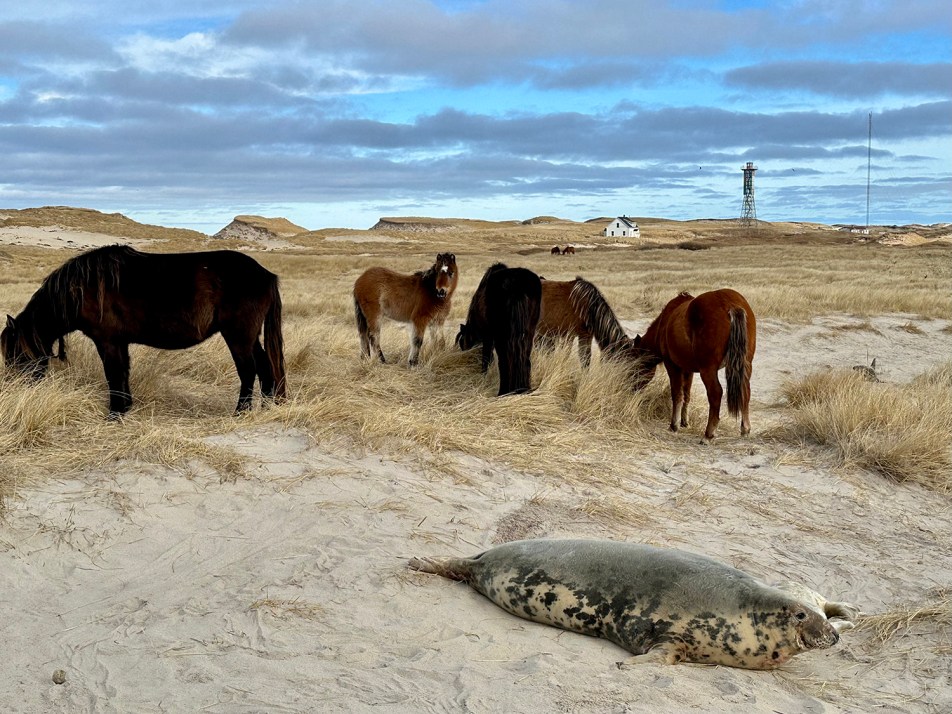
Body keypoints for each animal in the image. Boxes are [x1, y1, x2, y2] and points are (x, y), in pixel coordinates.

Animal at [2, 244, 286, 418]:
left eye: (16, 354)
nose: (14, 388)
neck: (83, 289)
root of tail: (266, 275)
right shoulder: (119, 342)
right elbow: (123, 373)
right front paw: (125, 407)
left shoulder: (107, 342)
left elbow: (113, 374)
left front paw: (115, 413)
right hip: (249, 338)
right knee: (265, 366)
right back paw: (268, 405)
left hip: (238, 336)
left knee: (248, 370)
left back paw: (241, 411)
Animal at [455, 264, 541, 395]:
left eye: (461, 342)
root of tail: (515, 284)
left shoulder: (488, 336)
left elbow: (487, 357)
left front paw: (483, 375)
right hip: (528, 332)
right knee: (524, 356)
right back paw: (523, 389)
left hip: (501, 335)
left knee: (504, 360)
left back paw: (504, 391)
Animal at [629, 288, 756, 442]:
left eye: (634, 365)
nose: (632, 389)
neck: (663, 325)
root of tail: (731, 304)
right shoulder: (687, 369)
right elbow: (687, 394)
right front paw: (684, 421)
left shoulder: (672, 366)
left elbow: (677, 394)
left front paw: (674, 425)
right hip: (746, 364)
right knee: (745, 391)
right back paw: (745, 429)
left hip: (708, 370)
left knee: (715, 393)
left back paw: (708, 434)